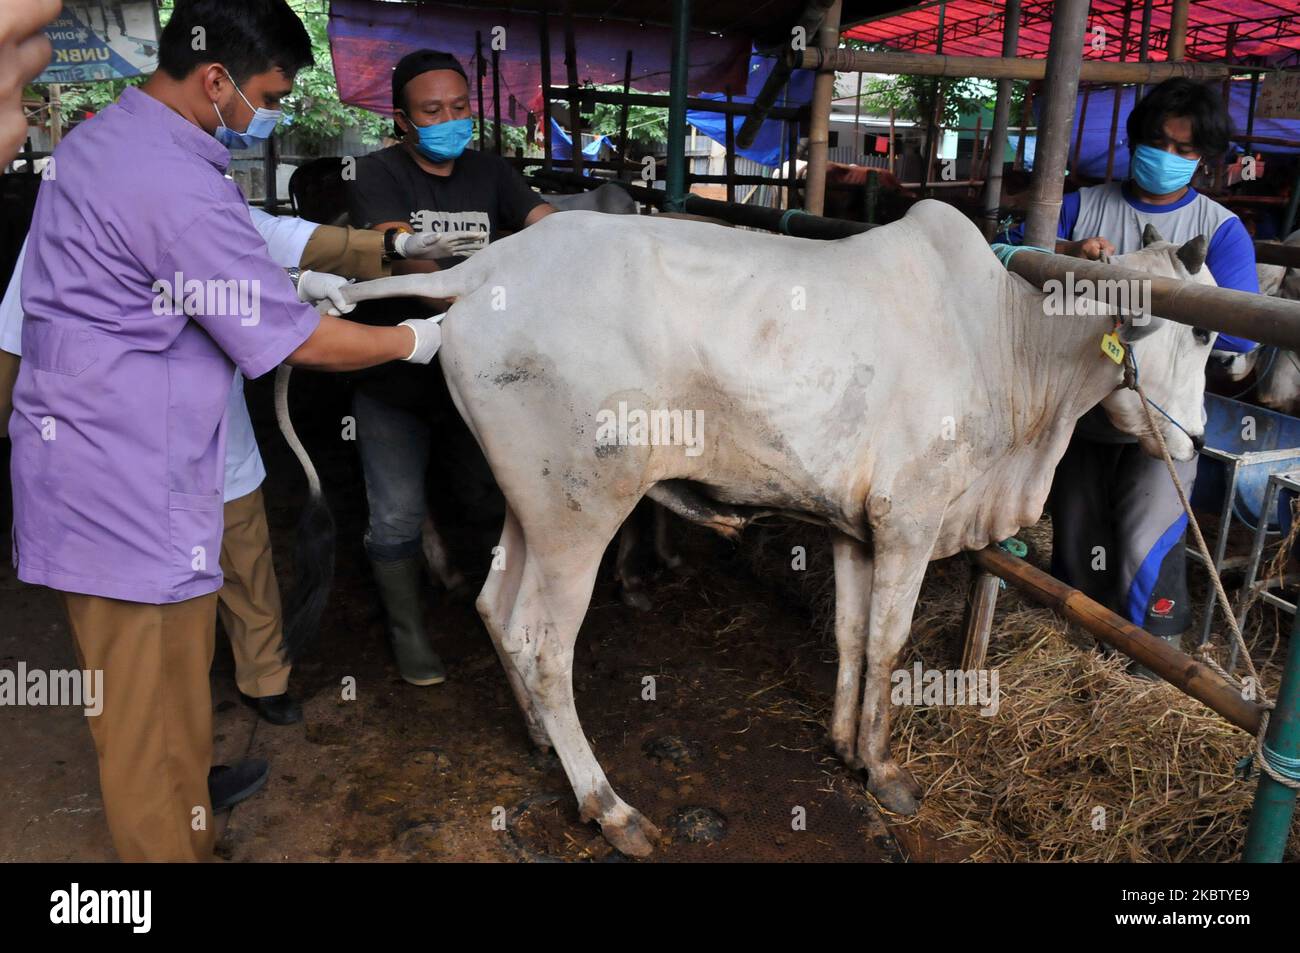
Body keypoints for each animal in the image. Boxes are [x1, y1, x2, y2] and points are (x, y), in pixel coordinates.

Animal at [336, 200, 1215, 856]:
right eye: (1206, 329)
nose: (1199, 441)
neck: (1008, 346)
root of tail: (485, 269)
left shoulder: (857, 527)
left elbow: (852, 633)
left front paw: (843, 744)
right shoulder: (911, 519)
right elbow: (890, 642)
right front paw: (885, 770)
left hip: (535, 505)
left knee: (494, 605)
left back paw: (540, 739)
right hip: (580, 509)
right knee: (544, 642)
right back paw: (609, 804)